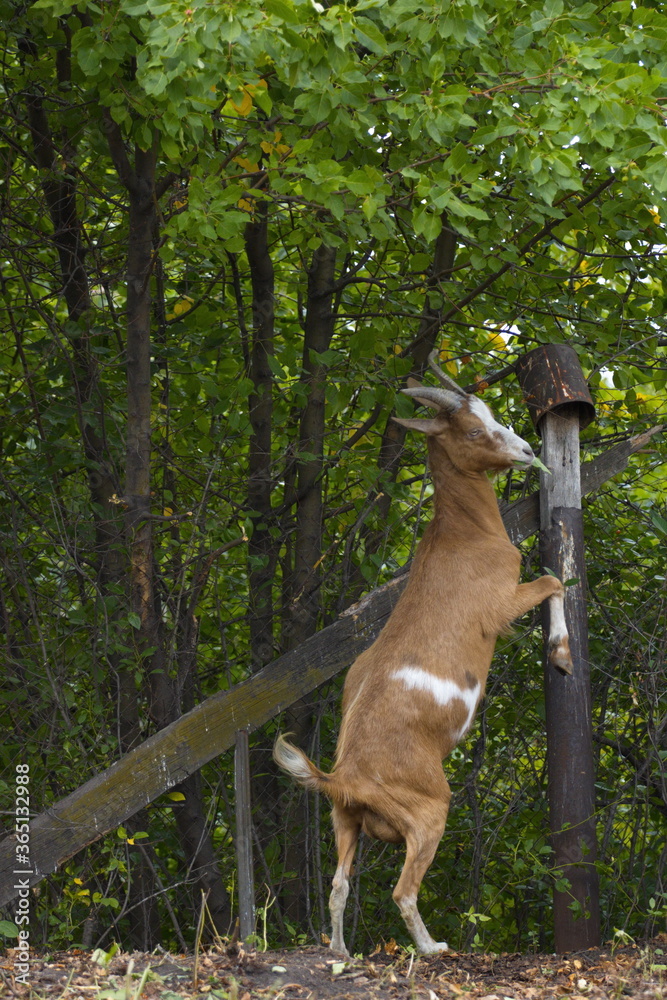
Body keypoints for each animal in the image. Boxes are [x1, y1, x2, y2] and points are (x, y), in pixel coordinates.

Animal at [274, 358, 572, 956]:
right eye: (475, 431)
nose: (527, 450)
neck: (463, 536)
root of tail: (344, 779)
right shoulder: (500, 603)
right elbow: (554, 580)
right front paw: (560, 656)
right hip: (428, 811)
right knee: (402, 890)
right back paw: (433, 948)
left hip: (345, 822)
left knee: (338, 886)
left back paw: (340, 952)